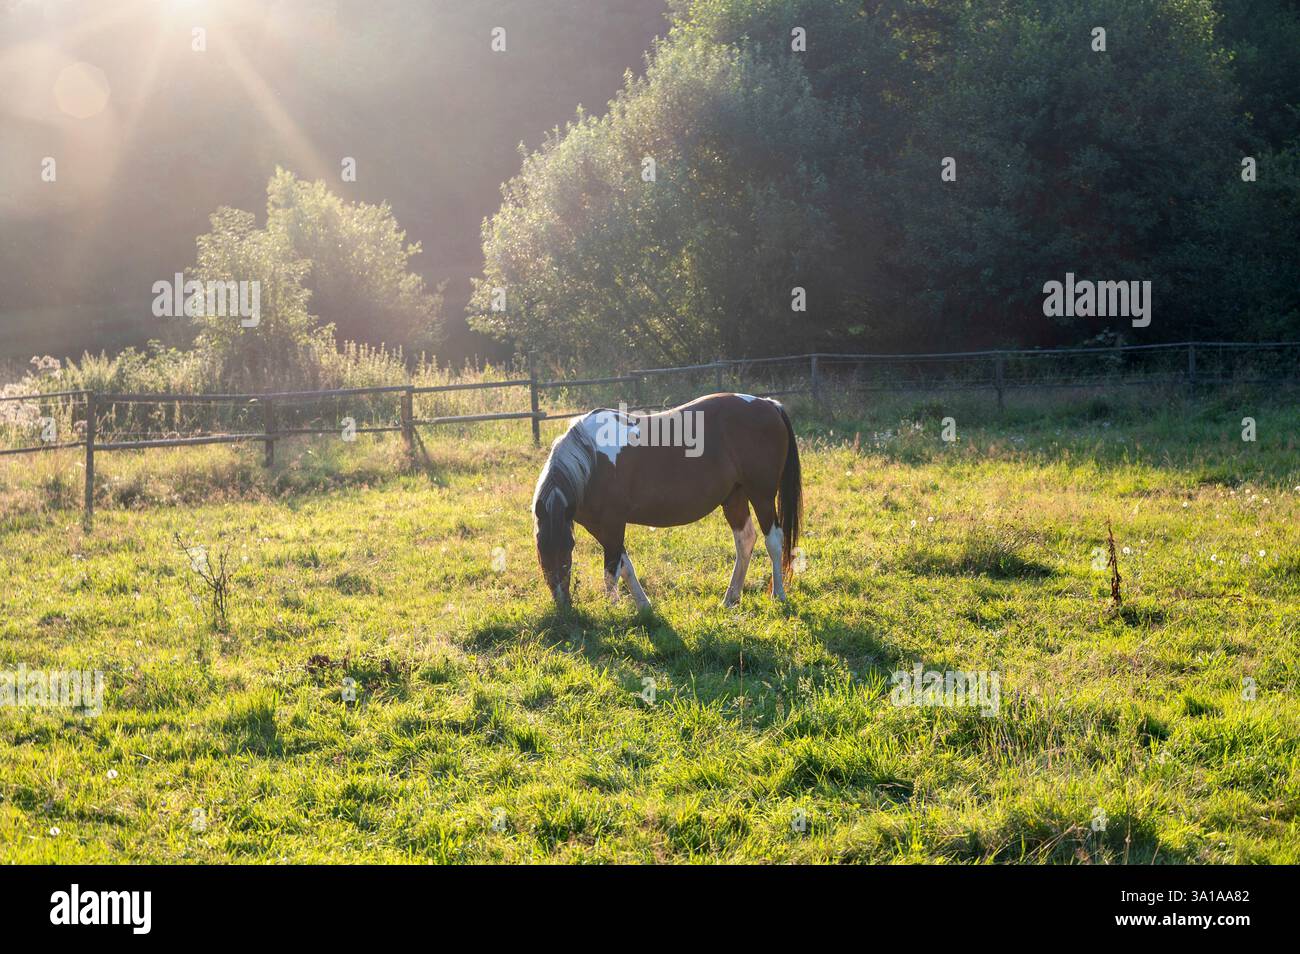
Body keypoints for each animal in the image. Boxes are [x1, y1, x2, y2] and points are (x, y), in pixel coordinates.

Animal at [532, 393, 802, 609]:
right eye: (540, 548)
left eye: (569, 546)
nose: (562, 603)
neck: (592, 462)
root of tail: (768, 404)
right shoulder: (604, 529)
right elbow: (626, 567)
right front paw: (643, 607)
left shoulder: (612, 525)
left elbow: (611, 572)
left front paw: (612, 610)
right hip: (734, 497)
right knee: (745, 541)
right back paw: (730, 598)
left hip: (761, 494)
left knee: (773, 541)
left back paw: (778, 595)